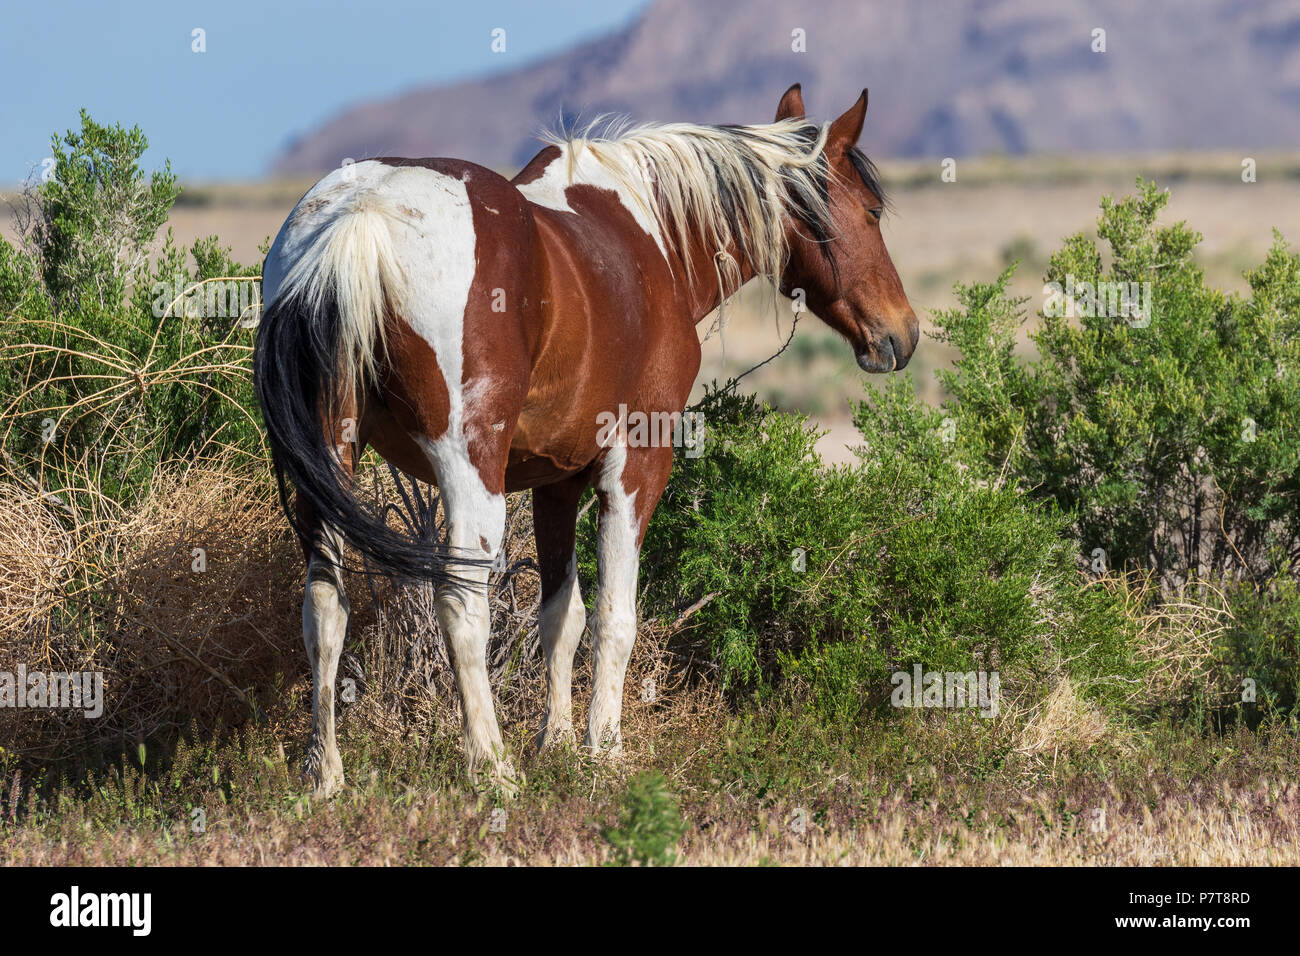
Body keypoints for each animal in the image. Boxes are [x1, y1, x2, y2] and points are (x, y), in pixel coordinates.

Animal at [253, 84, 918, 797]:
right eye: (872, 210)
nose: (902, 334)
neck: (652, 235)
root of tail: (364, 211)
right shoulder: (636, 465)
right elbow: (614, 617)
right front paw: (604, 748)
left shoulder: (555, 480)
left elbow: (561, 618)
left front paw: (559, 744)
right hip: (468, 476)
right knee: (461, 605)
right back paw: (491, 765)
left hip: (331, 464)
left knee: (325, 603)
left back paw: (325, 774)